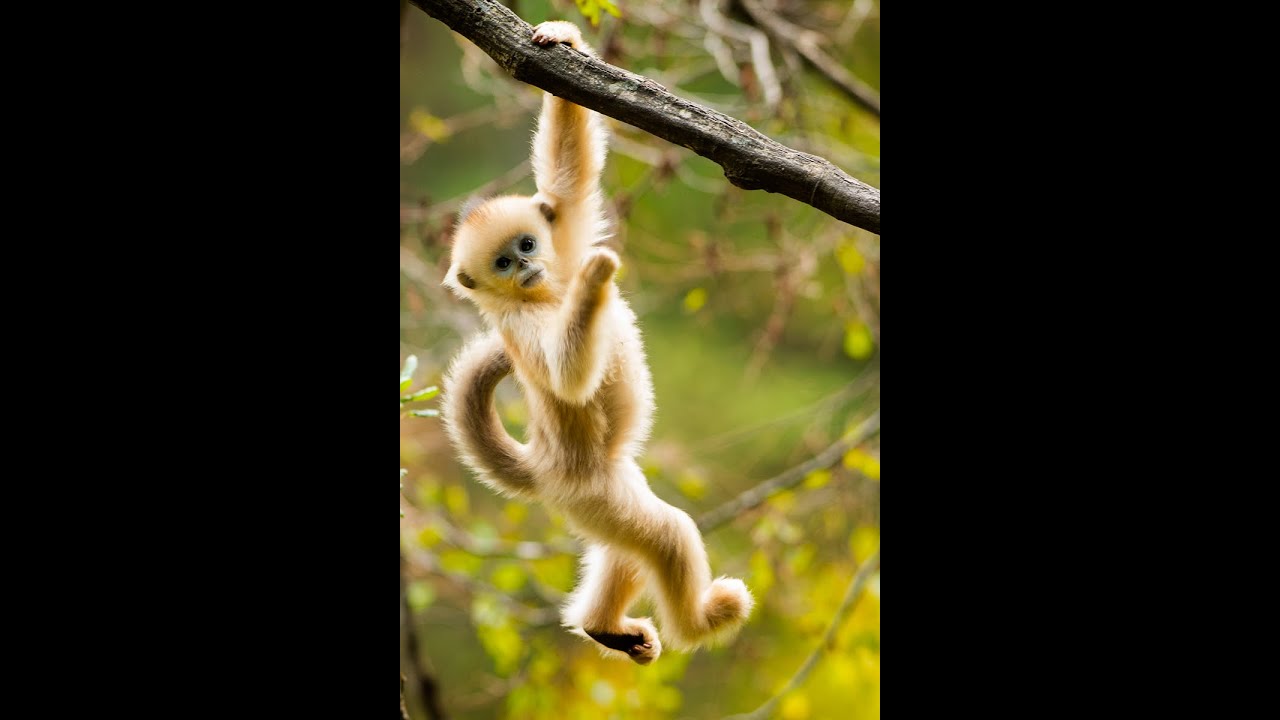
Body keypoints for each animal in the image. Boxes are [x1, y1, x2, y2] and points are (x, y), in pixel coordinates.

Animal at [439, 20, 753, 666]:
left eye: (527, 245)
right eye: (503, 263)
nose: (526, 268)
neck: (544, 294)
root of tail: (543, 466)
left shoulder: (564, 235)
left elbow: (568, 179)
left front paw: (560, 41)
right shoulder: (520, 326)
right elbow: (567, 378)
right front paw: (595, 280)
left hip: (612, 492)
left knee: (624, 552)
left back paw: (602, 627)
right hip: (595, 494)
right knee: (668, 535)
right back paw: (702, 620)